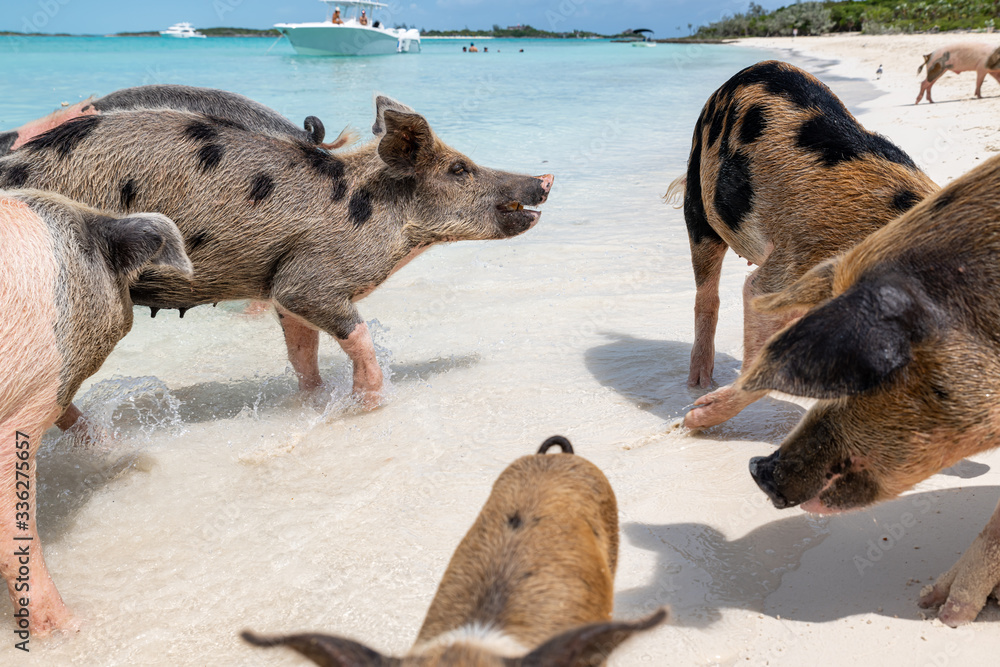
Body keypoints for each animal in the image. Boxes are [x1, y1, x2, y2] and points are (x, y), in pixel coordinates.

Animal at [0, 95, 553, 422]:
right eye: (459, 169)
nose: (545, 178)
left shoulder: (280, 286)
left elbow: (302, 354)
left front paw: (313, 401)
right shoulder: (309, 279)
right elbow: (359, 336)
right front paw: (366, 405)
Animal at [670, 60, 936, 429]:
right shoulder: (797, 261)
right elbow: (756, 297)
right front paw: (696, 417)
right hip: (699, 196)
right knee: (706, 292)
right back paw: (698, 384)